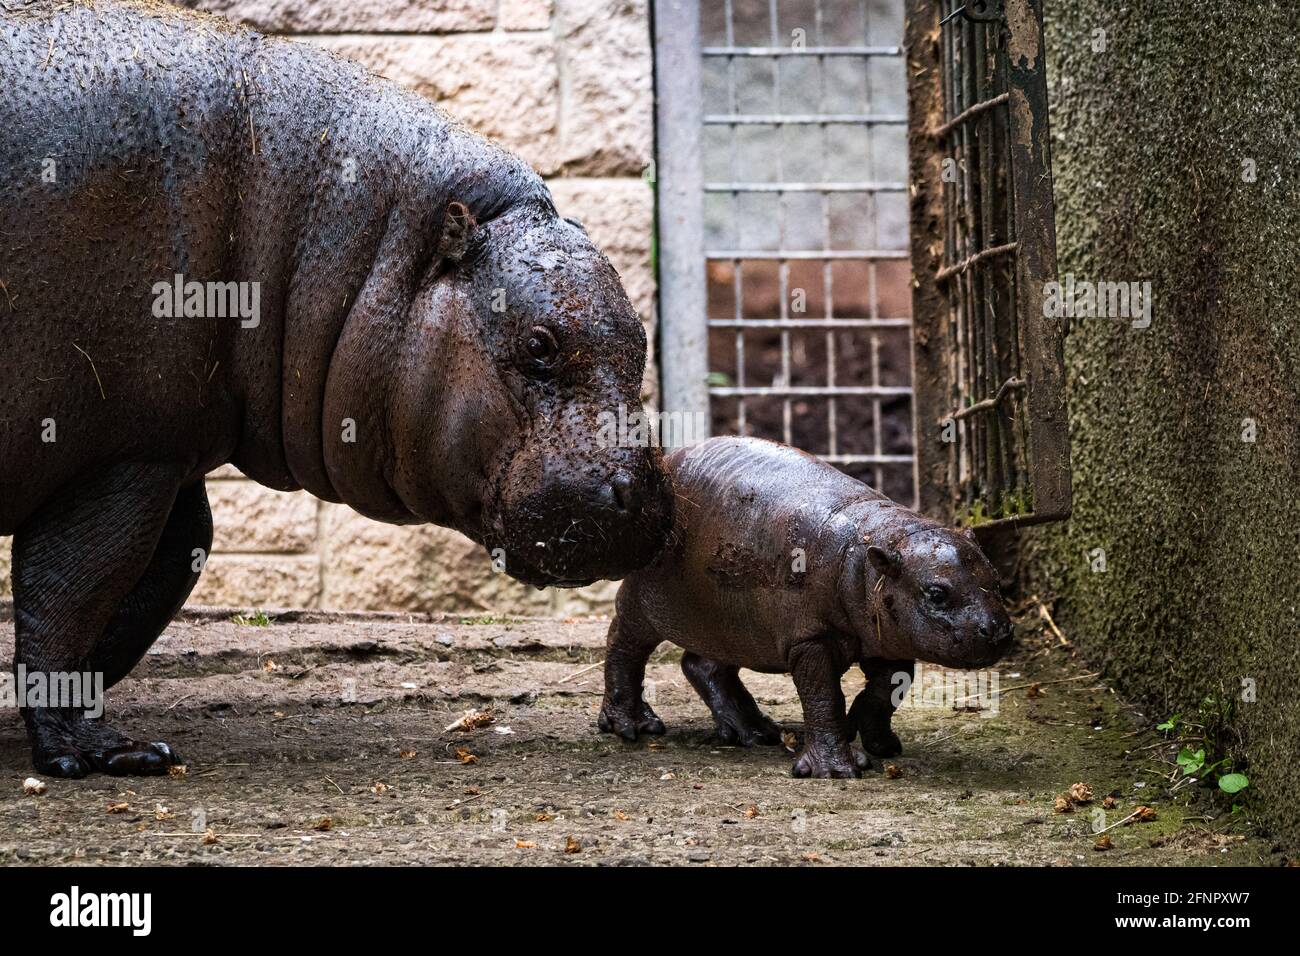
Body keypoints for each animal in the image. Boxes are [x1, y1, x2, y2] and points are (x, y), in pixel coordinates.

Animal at [0, 0, 672, 777]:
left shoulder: (166, 450)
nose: (649, 497)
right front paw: (104, 754)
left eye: (641, 339)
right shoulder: (119, 459)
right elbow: (72, 595)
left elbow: (162, 573)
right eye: (539, 344)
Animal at [598, 437, 1012, 778]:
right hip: (644, 600)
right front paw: (837, 769)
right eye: (937, 593)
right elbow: (822, 695)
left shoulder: (887, 638)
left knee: (703, 665)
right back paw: (633, 726)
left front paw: (877, 742)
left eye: (996, 579)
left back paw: (755, 731)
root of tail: (668, 462)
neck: (868, 557)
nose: (998, 630)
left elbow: (887, 689)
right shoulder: (809, 639)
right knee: (624, 644)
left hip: (729, 621)